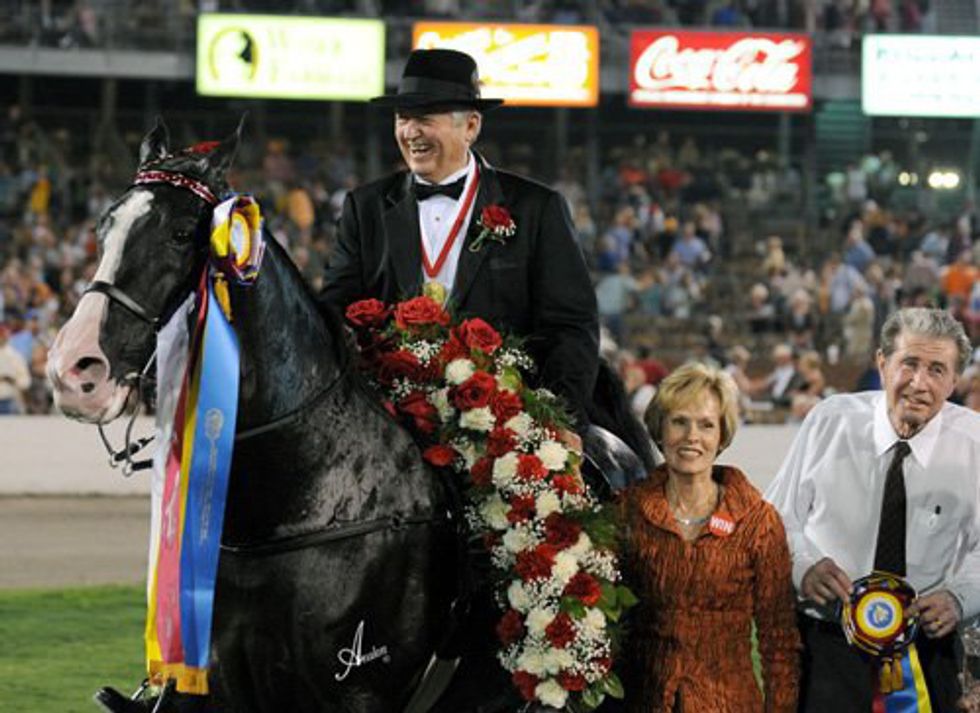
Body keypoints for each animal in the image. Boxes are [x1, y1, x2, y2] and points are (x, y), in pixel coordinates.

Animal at [47, 121, 653, 713]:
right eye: (102, 229)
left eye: (177, 234)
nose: (73, 369)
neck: (299, 505)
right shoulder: (223, 692)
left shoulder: (356, 692)